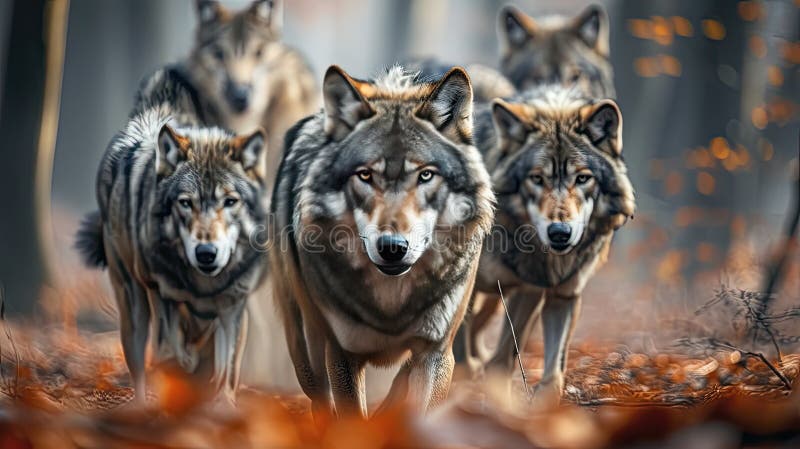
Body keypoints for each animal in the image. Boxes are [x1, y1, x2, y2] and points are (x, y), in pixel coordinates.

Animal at [75, 103, 269, 401]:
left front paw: (221, 401)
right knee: (142, 369)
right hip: (134, 309)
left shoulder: (233, 306)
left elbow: (225, 370)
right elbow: (174, 354)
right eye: (185, 203)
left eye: (230, 201)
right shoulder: (163, 294)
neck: (203, 286)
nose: (206, 253)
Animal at [269, 65, 495, 416]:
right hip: (306, 346)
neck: (391, 304)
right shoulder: (342, 355)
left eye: (425, 175)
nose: (392, 248)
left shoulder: (435, 352)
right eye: (365, 175)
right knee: (319, 399)